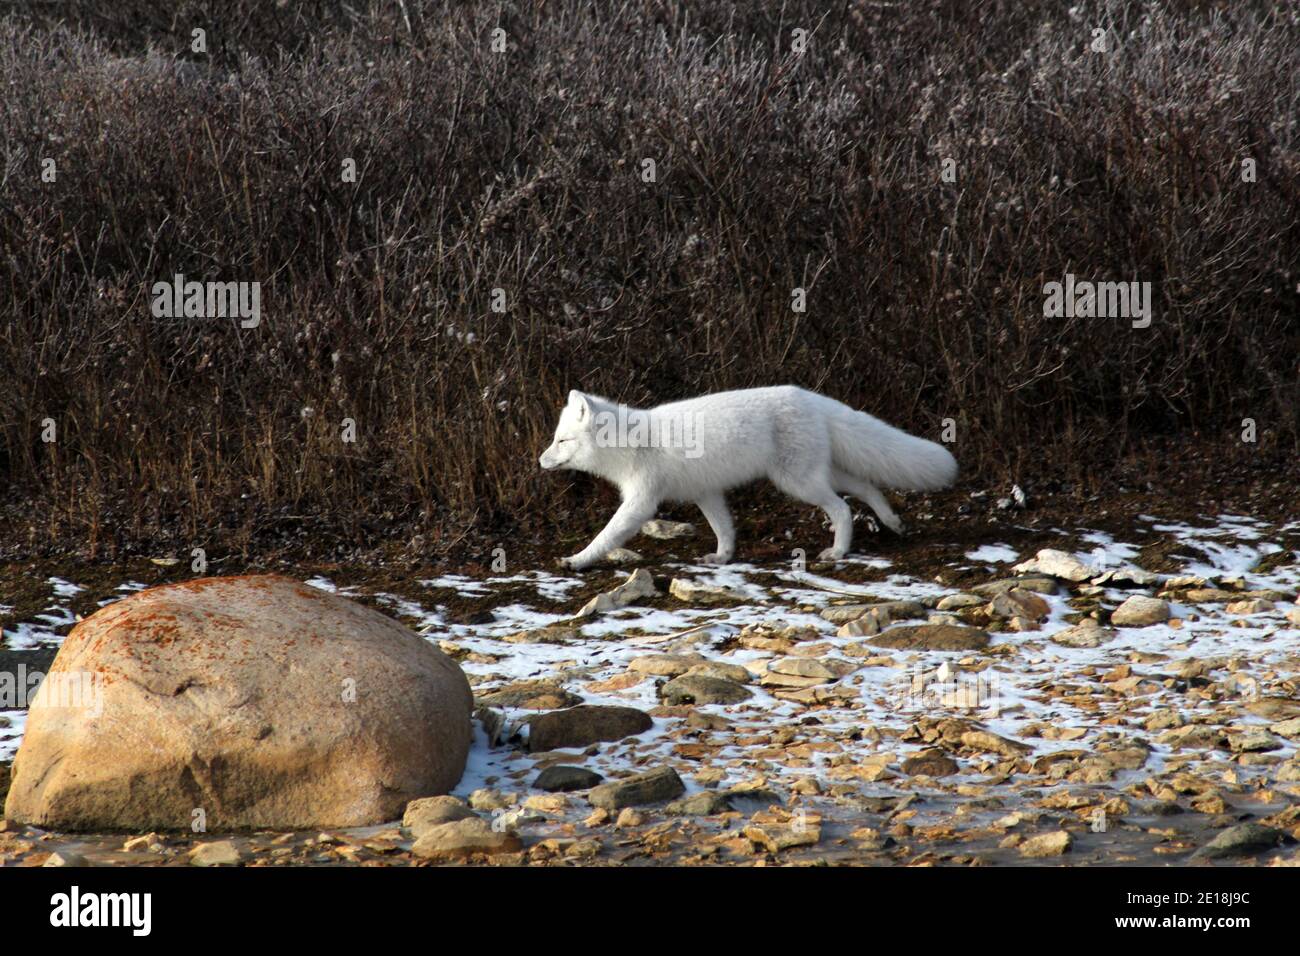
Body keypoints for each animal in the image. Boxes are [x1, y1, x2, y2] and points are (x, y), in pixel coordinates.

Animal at [539, 385, 958, 570]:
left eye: (562, 440)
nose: (540, 461)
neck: (635, 443)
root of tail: (809, 396)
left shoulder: (641, 503)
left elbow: (606, 535)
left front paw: (576, 559)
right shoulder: (706, 493)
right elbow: (723, 528)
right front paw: (723, 556)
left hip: (797, 482)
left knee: (842, 508)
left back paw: (839, 550)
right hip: (814, 474)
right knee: (866, 485)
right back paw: (893, 522)